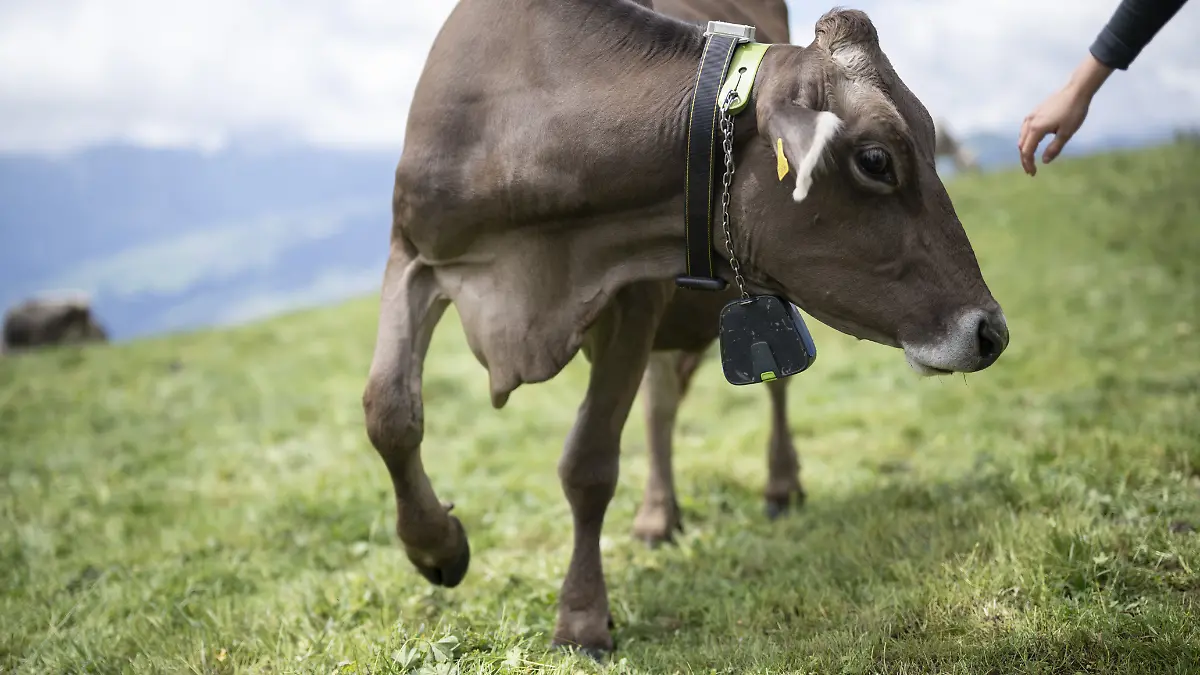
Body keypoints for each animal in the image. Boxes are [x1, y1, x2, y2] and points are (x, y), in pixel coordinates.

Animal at [362, 0, 1009, 657]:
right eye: (876, 160)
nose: (991, 331)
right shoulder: (411, 254)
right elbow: (388, 414)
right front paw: (436, 547)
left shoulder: (635, 294)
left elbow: (589, 464)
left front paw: (581, 619)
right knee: (662, 407)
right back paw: (658, 515)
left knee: (772, 387)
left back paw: (780, 485)